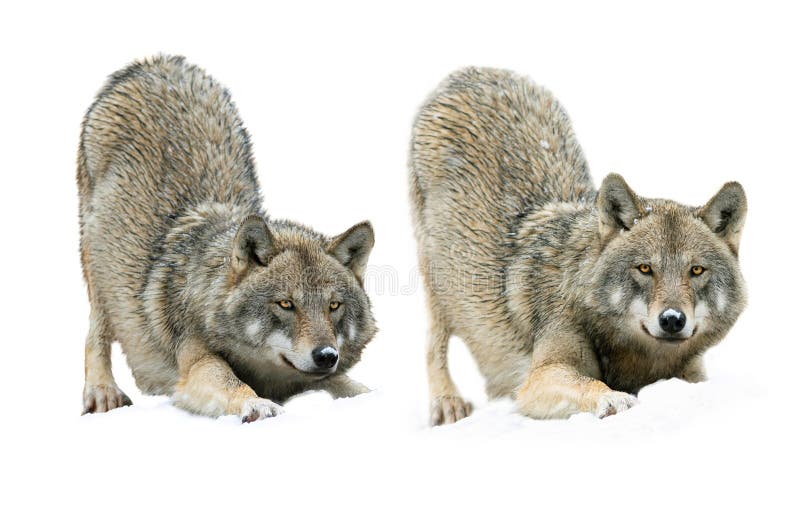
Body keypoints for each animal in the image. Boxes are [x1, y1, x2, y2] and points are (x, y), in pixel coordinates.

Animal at [78, 55, 377, 422]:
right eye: (285, 304)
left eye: (334, 306)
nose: (326, 355)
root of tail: (157, 61)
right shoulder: (196, 362)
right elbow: (232, 383)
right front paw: (258, 404)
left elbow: (349, 384)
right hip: (97, 262)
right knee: (96, 329)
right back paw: (101, 392)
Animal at [410, 67, 747, 424]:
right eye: (645, 268)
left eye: (696, 270)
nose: (672, 320)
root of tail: (476, 71)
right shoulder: (540, 377)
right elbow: (589, 384)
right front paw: (615, 400)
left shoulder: (693, 371)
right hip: (439, 281)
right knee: (434, 344)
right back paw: (447, 403)